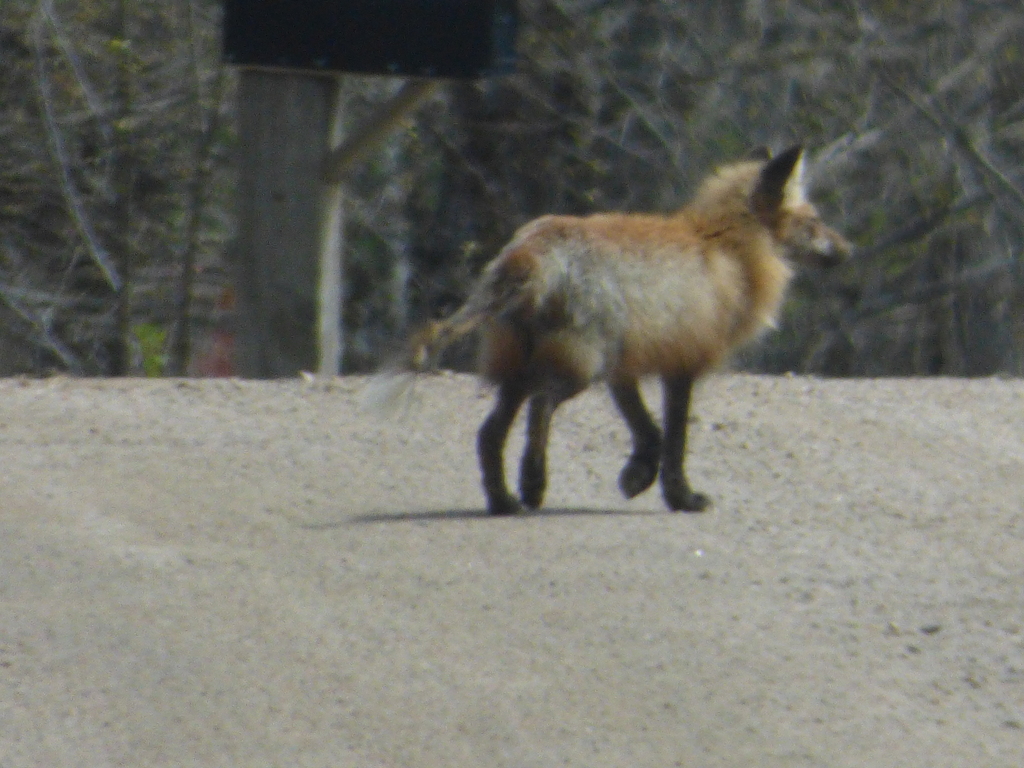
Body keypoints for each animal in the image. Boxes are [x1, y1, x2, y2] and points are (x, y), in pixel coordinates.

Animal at [377, 145, 851, 514]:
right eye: (814, 222)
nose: (849, 250)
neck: (724, 248)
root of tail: (528, 248)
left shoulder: (626, 366)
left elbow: (650, 431)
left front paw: (636, 476)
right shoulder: (682, 362)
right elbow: (674, 440)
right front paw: (681, 498)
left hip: (522, 371)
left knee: (489, 434)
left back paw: (504, 502)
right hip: (577, 367)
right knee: (541, 408)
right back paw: (532, 486)